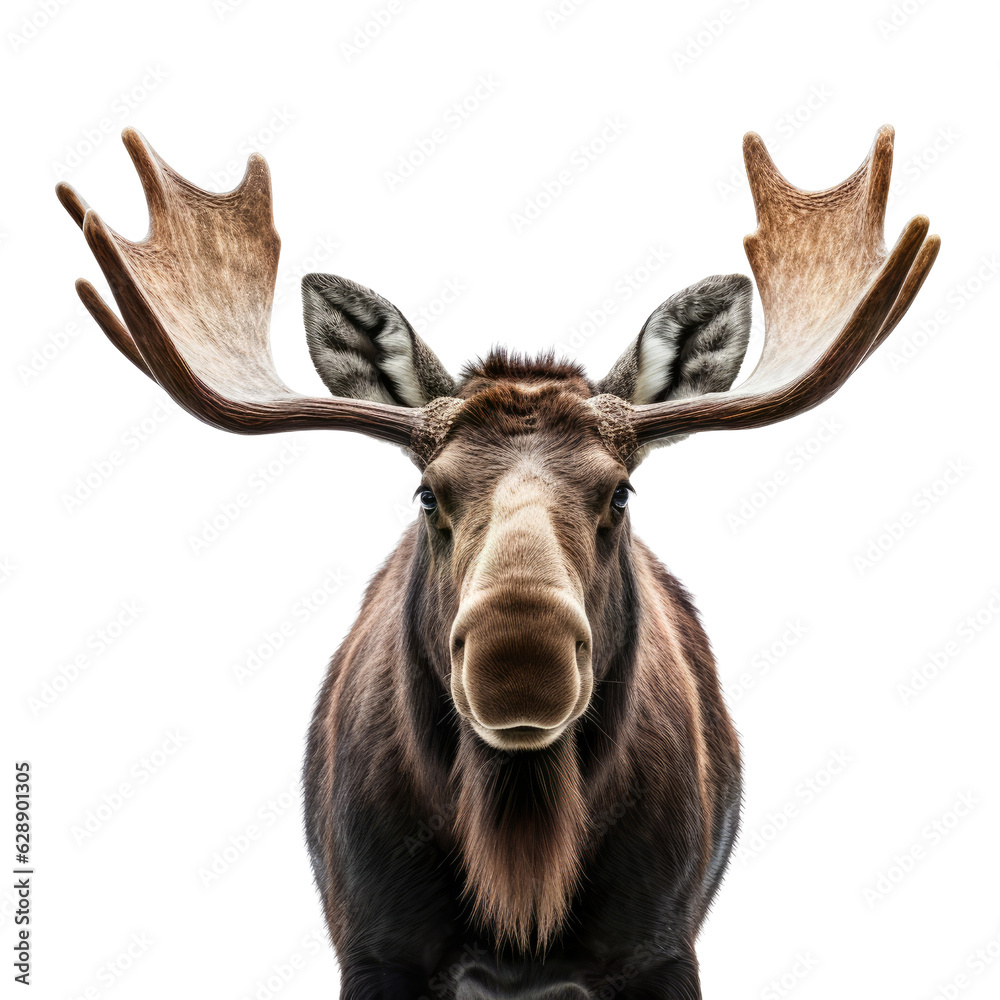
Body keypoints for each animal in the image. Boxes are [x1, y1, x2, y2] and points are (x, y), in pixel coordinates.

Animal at [57, 125, 938, 999]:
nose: (520, 659)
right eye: (426, 492)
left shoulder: (660, 948)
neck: (521, 884)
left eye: (621, 492)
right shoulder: (375, 947)